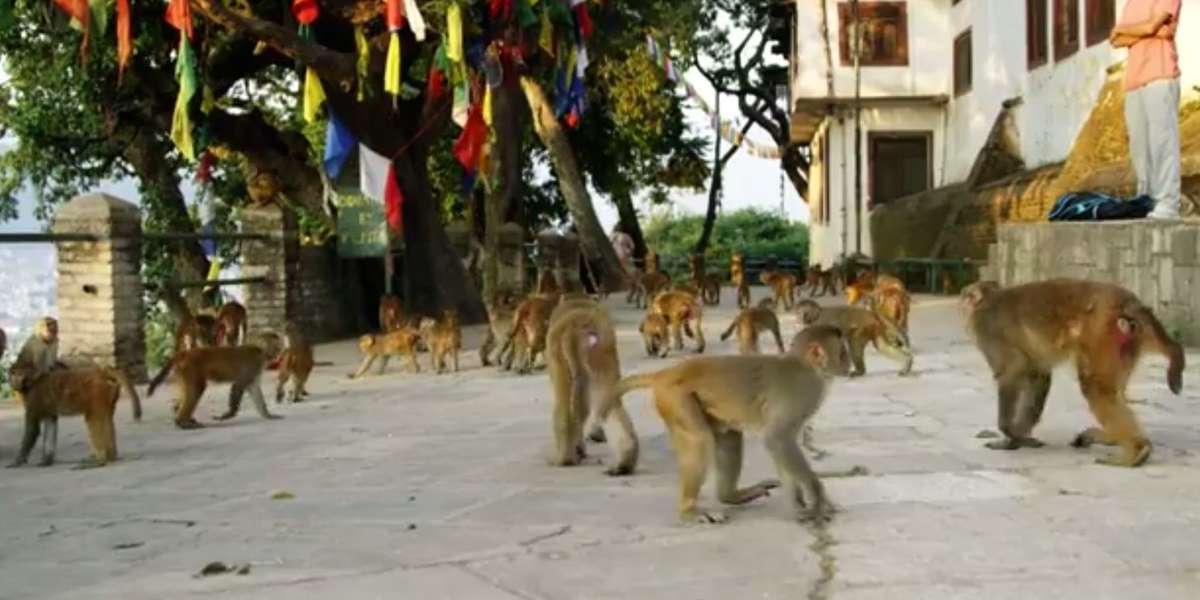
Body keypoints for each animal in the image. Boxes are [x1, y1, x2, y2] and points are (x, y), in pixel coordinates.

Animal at [7, 365, 142, 468]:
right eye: (13, 374)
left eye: (20, 374)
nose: (15, 381)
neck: (31, 382)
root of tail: (102, 371)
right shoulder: (47, 409)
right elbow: (50, 424)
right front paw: (46, 461)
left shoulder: (33, 400)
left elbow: (32, 429)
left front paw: (17, 461)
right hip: (109, 394)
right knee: (106, 419)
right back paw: (111, 457)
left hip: (97, 391)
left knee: (92, 419)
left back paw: (100, 461)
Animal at [147, 338, 284, 429]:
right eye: (276, 347)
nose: (277, 355)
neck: (260, 352)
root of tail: (186, 353)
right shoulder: (252, 365)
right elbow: (238, 385)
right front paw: (229, 414)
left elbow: (254, 388)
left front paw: (268, 415)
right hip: (190, 367)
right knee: (198, 388)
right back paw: (182, 422)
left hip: (182, 370)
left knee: (190, 389)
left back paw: (182, 418)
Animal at [545, 302, 640, 475]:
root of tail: (576, 324)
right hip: (602, 350)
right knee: (609, 399)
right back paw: (624, 462)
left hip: (559, 354)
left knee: (564, 405)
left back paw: (564, 459)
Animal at [613, 326, 851, 524]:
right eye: (842, 352)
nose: (848, 364)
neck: (807, 365)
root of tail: (666, 373)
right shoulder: (805, 392)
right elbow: (777, 438)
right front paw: (816, 496)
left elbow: (778, 445)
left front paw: (800, 504)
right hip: (675, 398)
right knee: (700, 439)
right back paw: (689, 511)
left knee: (730, 438)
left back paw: (731, 496)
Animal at [960, 278, 1184, 467]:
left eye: (966, 297)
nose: (963, 302)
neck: (988, 298)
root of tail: (1128, 301)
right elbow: (1039, 376)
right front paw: (1019, 437)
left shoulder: (988, 332)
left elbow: (1012, 372)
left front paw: (1009, 434)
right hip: (1127, 340)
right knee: (1110, 389)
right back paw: (1115, 440)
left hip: (1101, 332)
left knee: (1094, 387)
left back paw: (1135, 452)